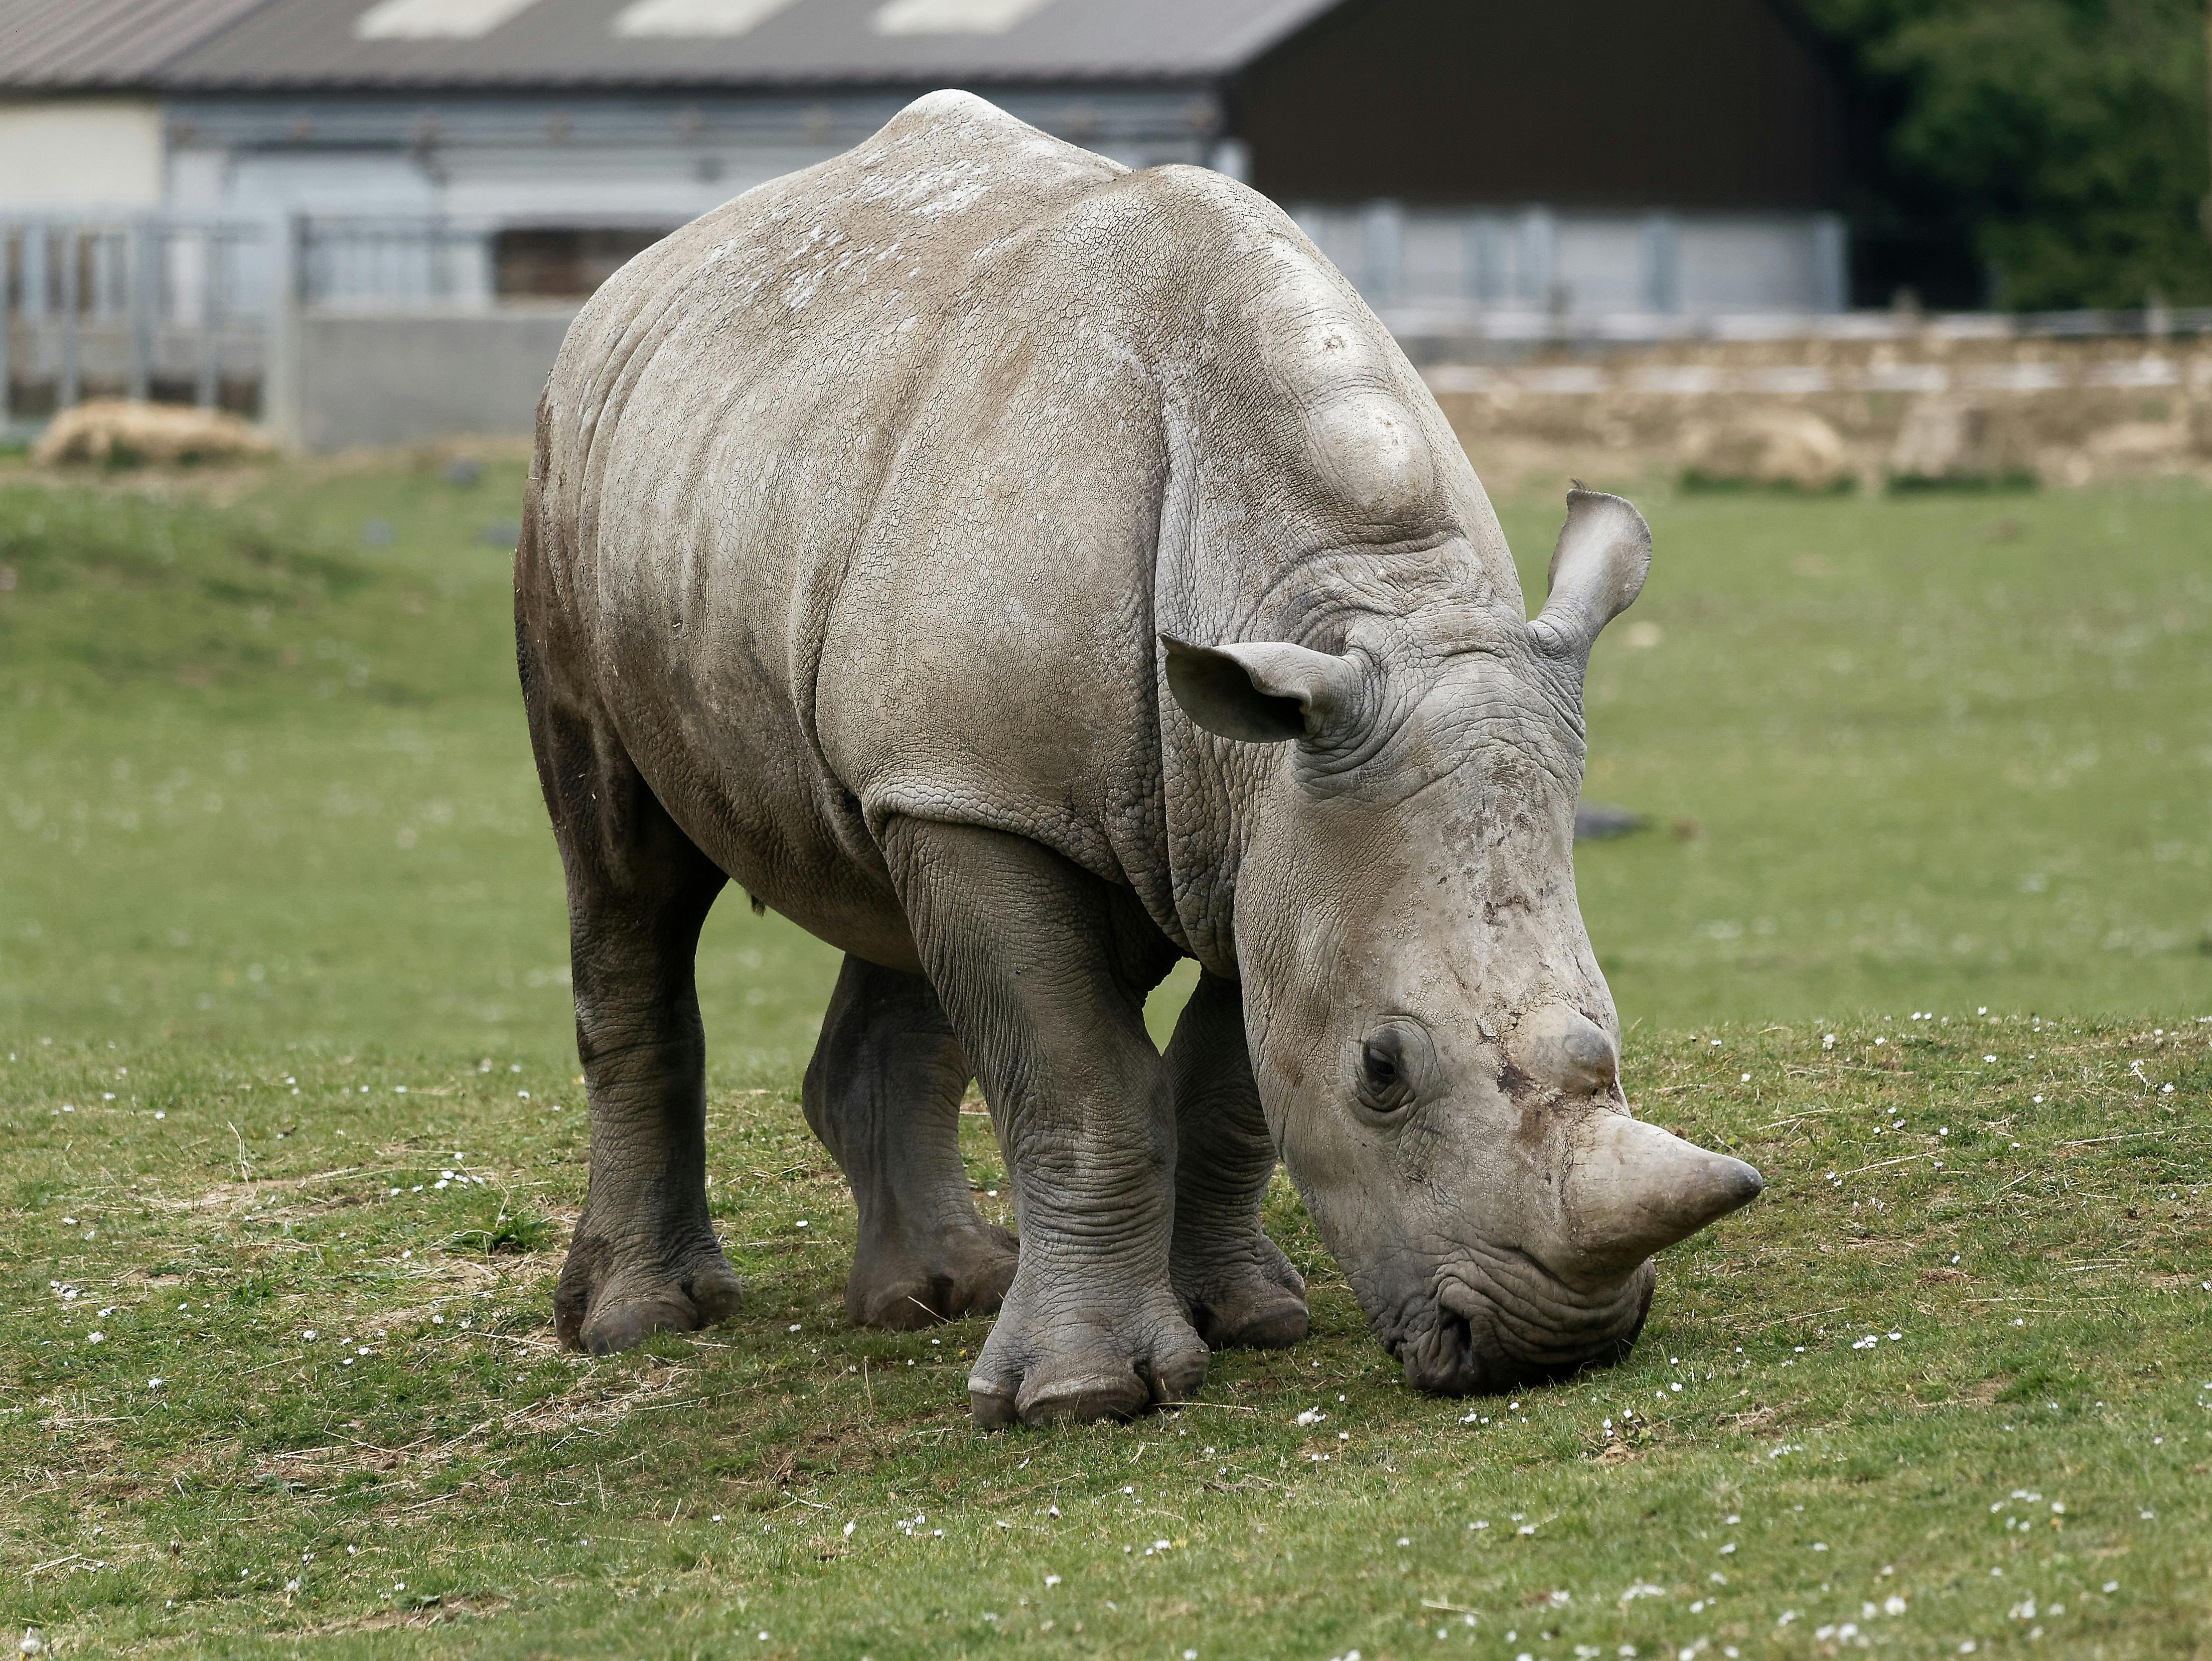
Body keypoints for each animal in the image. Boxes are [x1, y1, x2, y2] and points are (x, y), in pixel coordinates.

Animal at [516, 90, 1760, 1427]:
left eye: (1607, 1033)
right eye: (1380, 1069)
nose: (1550, 1344)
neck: (1351, 590)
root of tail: (642, 270)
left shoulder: (1249, 814)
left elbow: (1228, 1081)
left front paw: (1244, 1318)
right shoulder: (1053, 786)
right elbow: (1080, 1084)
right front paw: (1080, 1395)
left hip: (845, 588)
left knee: (888, 873)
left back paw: (939, 1293)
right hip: (572, 483)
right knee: (624, 870)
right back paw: (643, 1321)